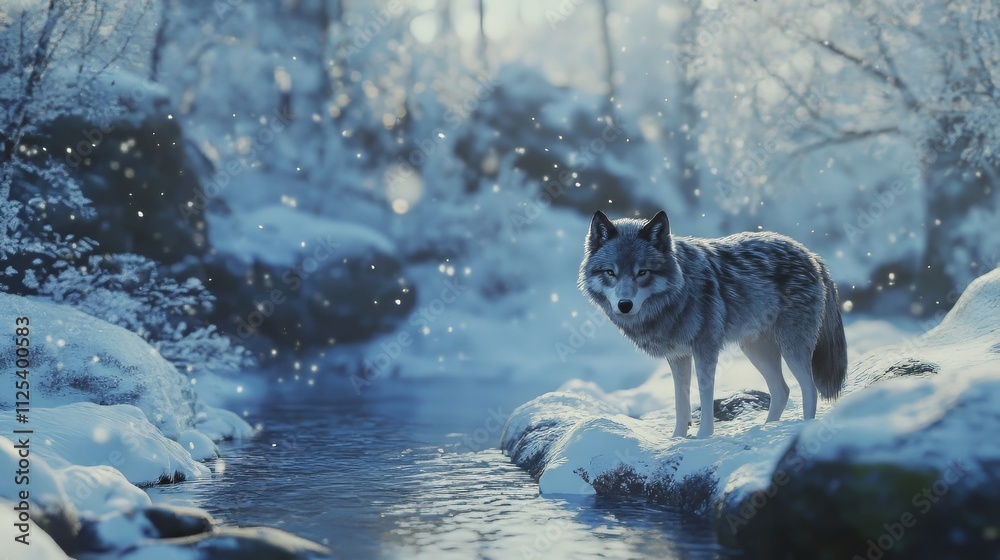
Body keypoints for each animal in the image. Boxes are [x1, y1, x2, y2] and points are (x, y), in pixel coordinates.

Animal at [578, 210, 847, 438]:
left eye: (642, 272)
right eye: (610, 272)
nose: (624, 304)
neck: (680, 292)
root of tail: (811, 254)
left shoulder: (705, 350)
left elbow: (704, 395)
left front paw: (702, 437)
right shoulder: (677, 357)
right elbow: (681, 403)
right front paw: (677, 439)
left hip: (791, 349)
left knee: (809, 389)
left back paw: (803, 429)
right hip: (755, 351)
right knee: (782, 391)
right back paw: (767, 430)